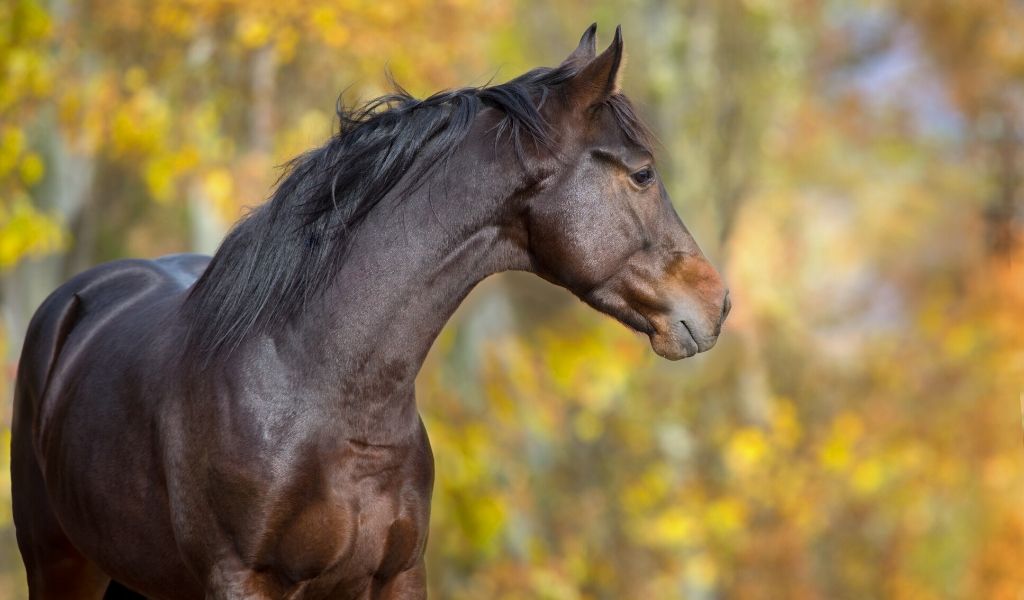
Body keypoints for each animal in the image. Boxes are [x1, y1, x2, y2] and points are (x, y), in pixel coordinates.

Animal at [11, 24, 730, 599]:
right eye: (642, 173)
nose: (716, 302)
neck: (322, 391)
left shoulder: (397, 575)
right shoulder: (243, 579)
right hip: (59, 564)